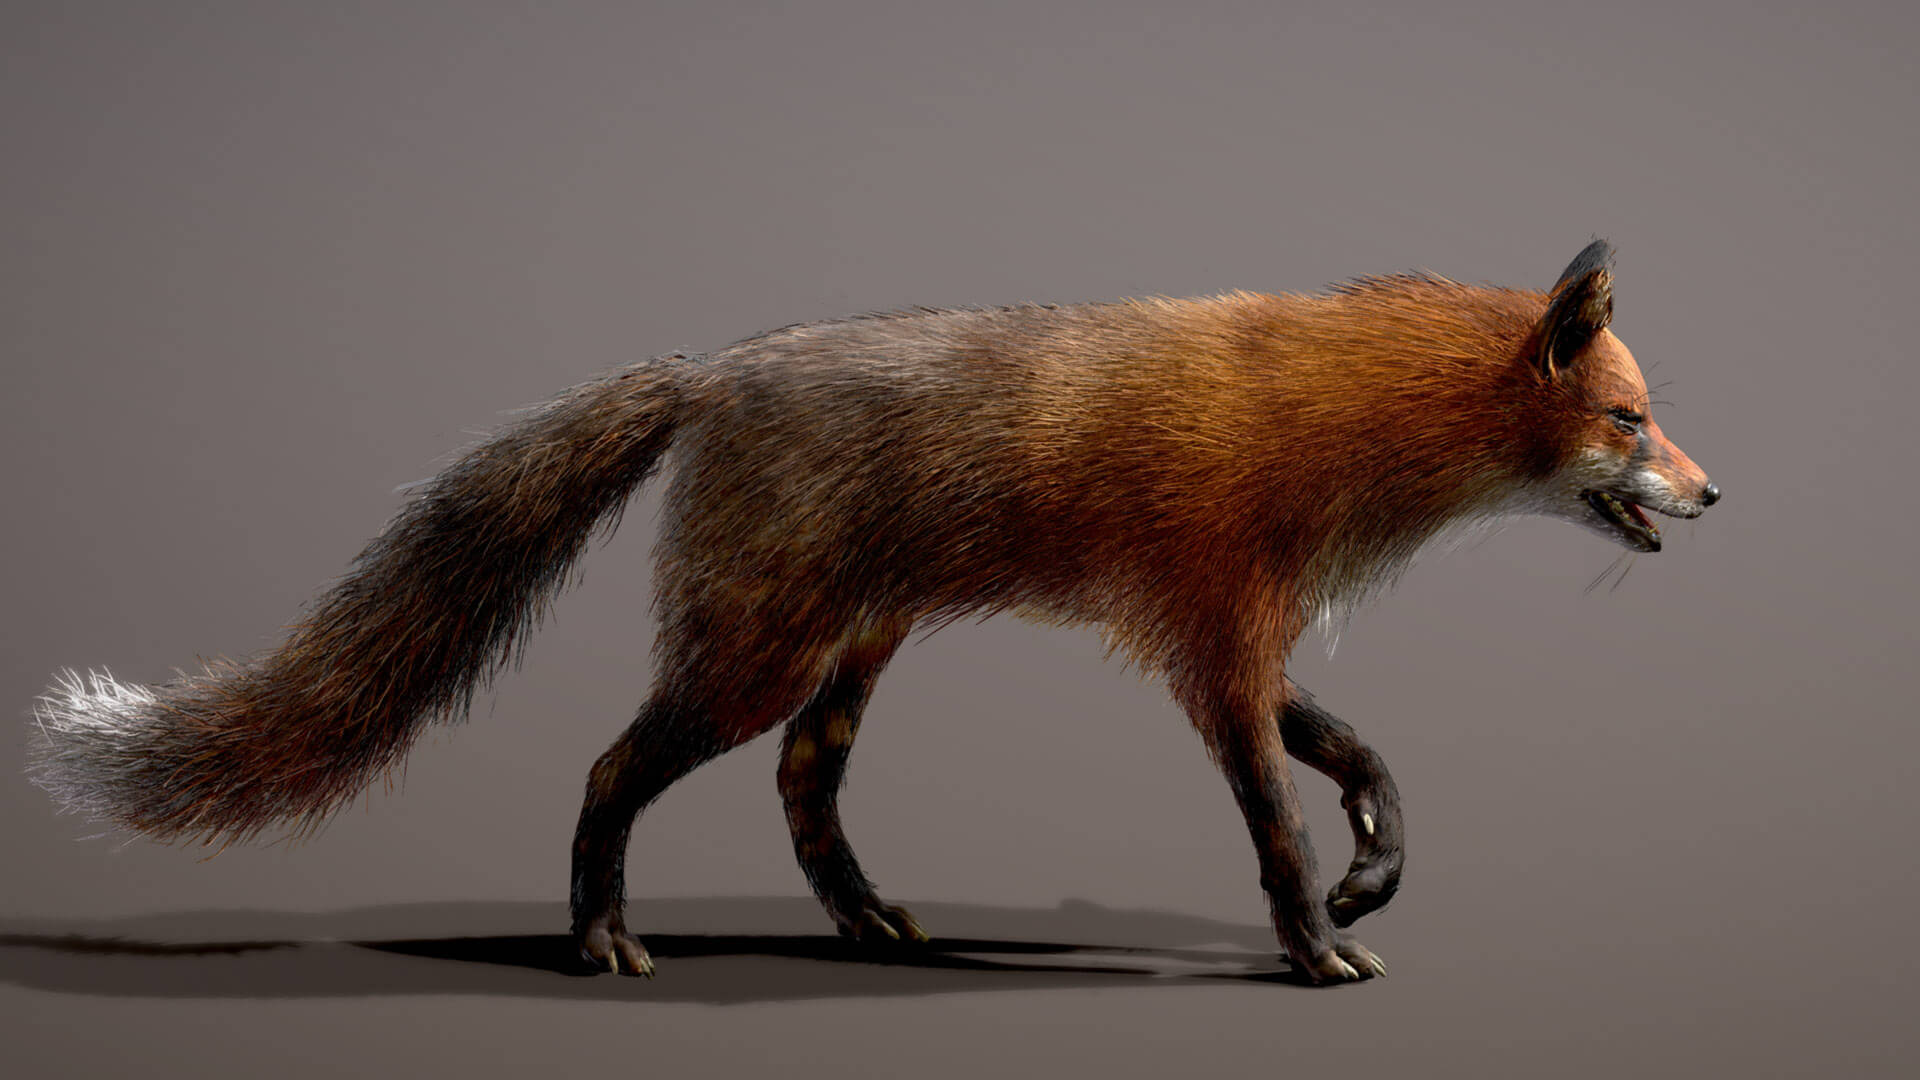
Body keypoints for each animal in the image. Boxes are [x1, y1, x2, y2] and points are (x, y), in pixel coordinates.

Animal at [27, 240, 1716, 985]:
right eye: (1631, 420)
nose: (1715, 494)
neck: (1325, 423)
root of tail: (709, 370)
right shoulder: (1214, 643)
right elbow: (1281, 820)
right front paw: (1316, 945)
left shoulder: (1222, 636)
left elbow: (1367, 763)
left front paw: (1376, 881)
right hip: (754, 656)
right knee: (613, 770)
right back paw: (603, 938)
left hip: (841, 659)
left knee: (802, 790)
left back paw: (869, 924)